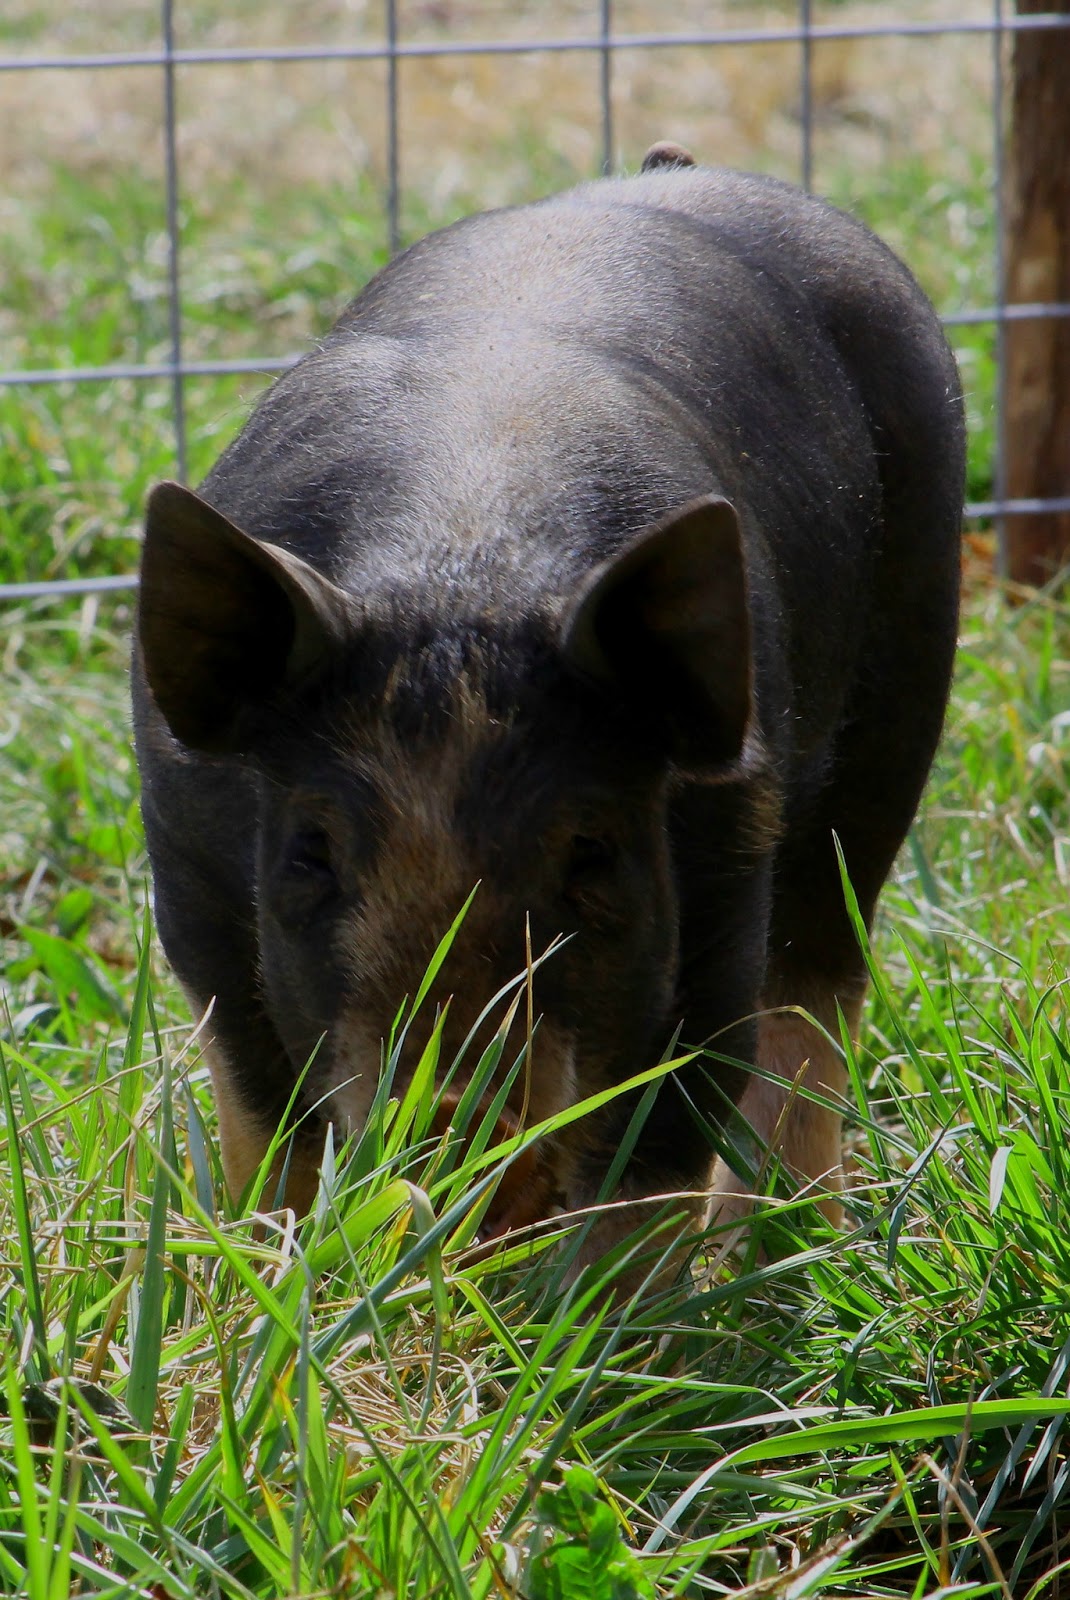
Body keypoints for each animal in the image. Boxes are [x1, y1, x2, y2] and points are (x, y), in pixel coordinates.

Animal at [131, 149, 964, 1274]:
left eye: (591, 850)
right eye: (309, 848)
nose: (452, 1136)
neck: (461, 551)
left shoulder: (723, 864)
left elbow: (653, 1158)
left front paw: (628, 1322)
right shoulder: (193, 884)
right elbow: (271, 1140)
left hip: (906, 670)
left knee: (817, 976)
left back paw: (784, 1254)